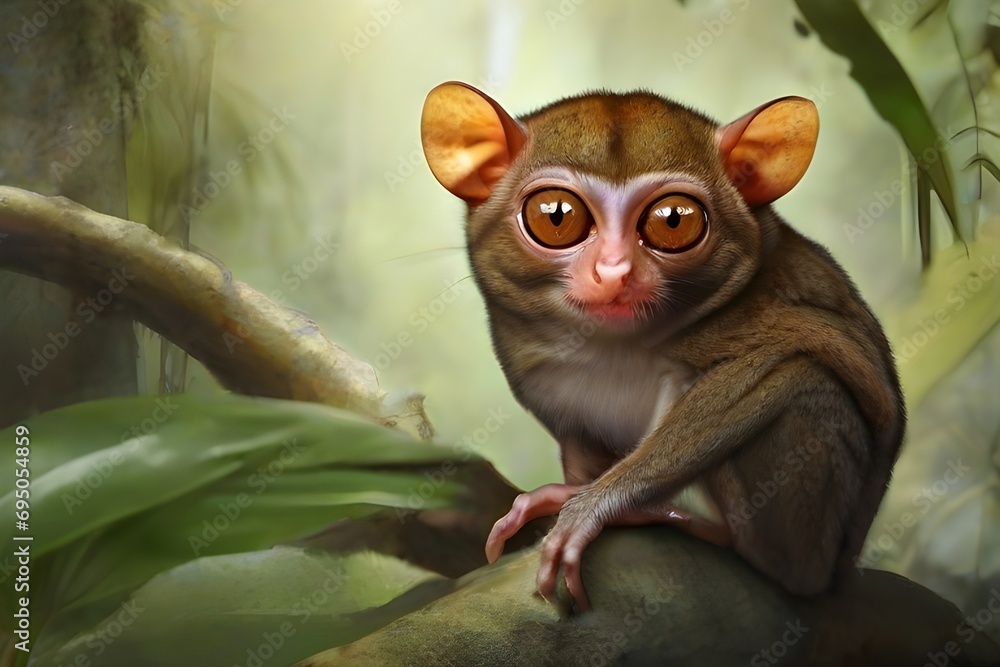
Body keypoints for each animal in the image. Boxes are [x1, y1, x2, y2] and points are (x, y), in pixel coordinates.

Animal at [420, 82, 905, 611]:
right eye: (556, 217)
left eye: (673, 221)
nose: (614, 271)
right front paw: (566, 495)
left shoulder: (764, 313)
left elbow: (791, 361)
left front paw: (591, 509)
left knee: (809, 387)